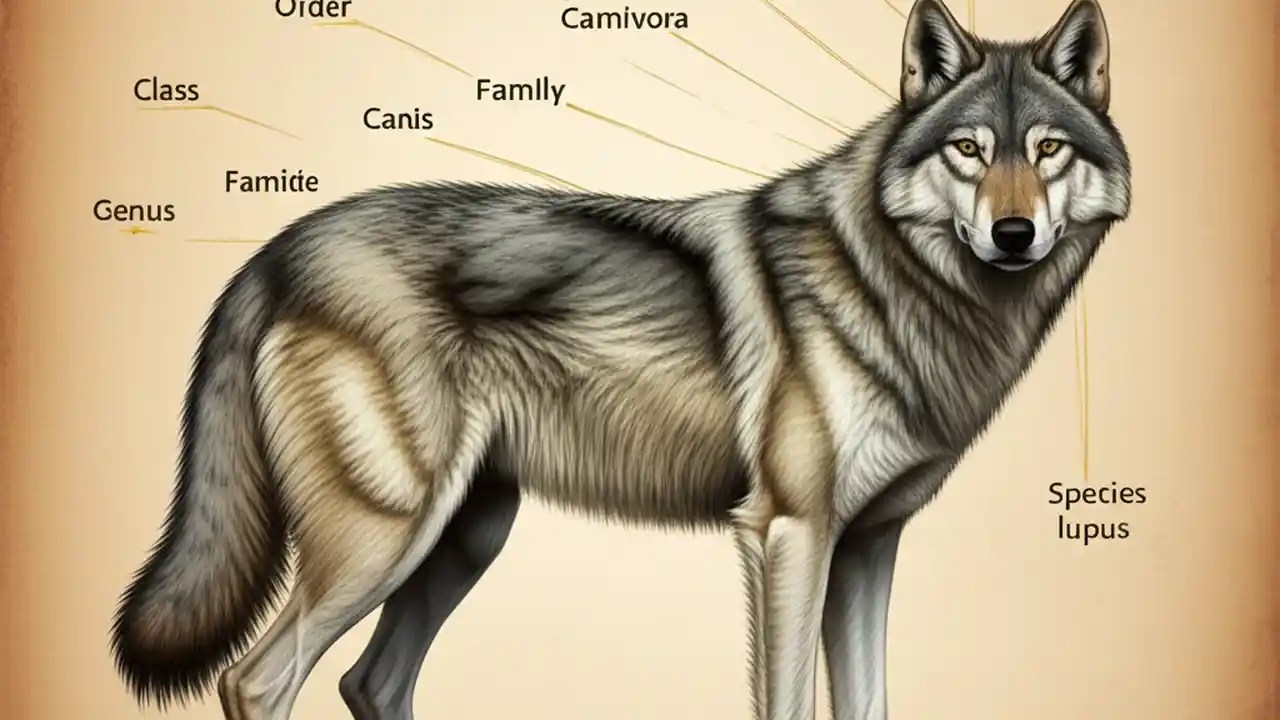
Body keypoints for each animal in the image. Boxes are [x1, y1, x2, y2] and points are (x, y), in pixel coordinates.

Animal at [110, 1, 1131, 718]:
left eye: (1047, 149)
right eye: (968, 150)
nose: (1012, 234)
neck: (902, 288)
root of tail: (280, 247)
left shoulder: (868, 548)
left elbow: (872, 705)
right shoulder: (789, 536)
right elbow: (790, 706)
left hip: (466, 536)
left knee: (372, 684)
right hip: (385, 540)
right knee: (258, 681)